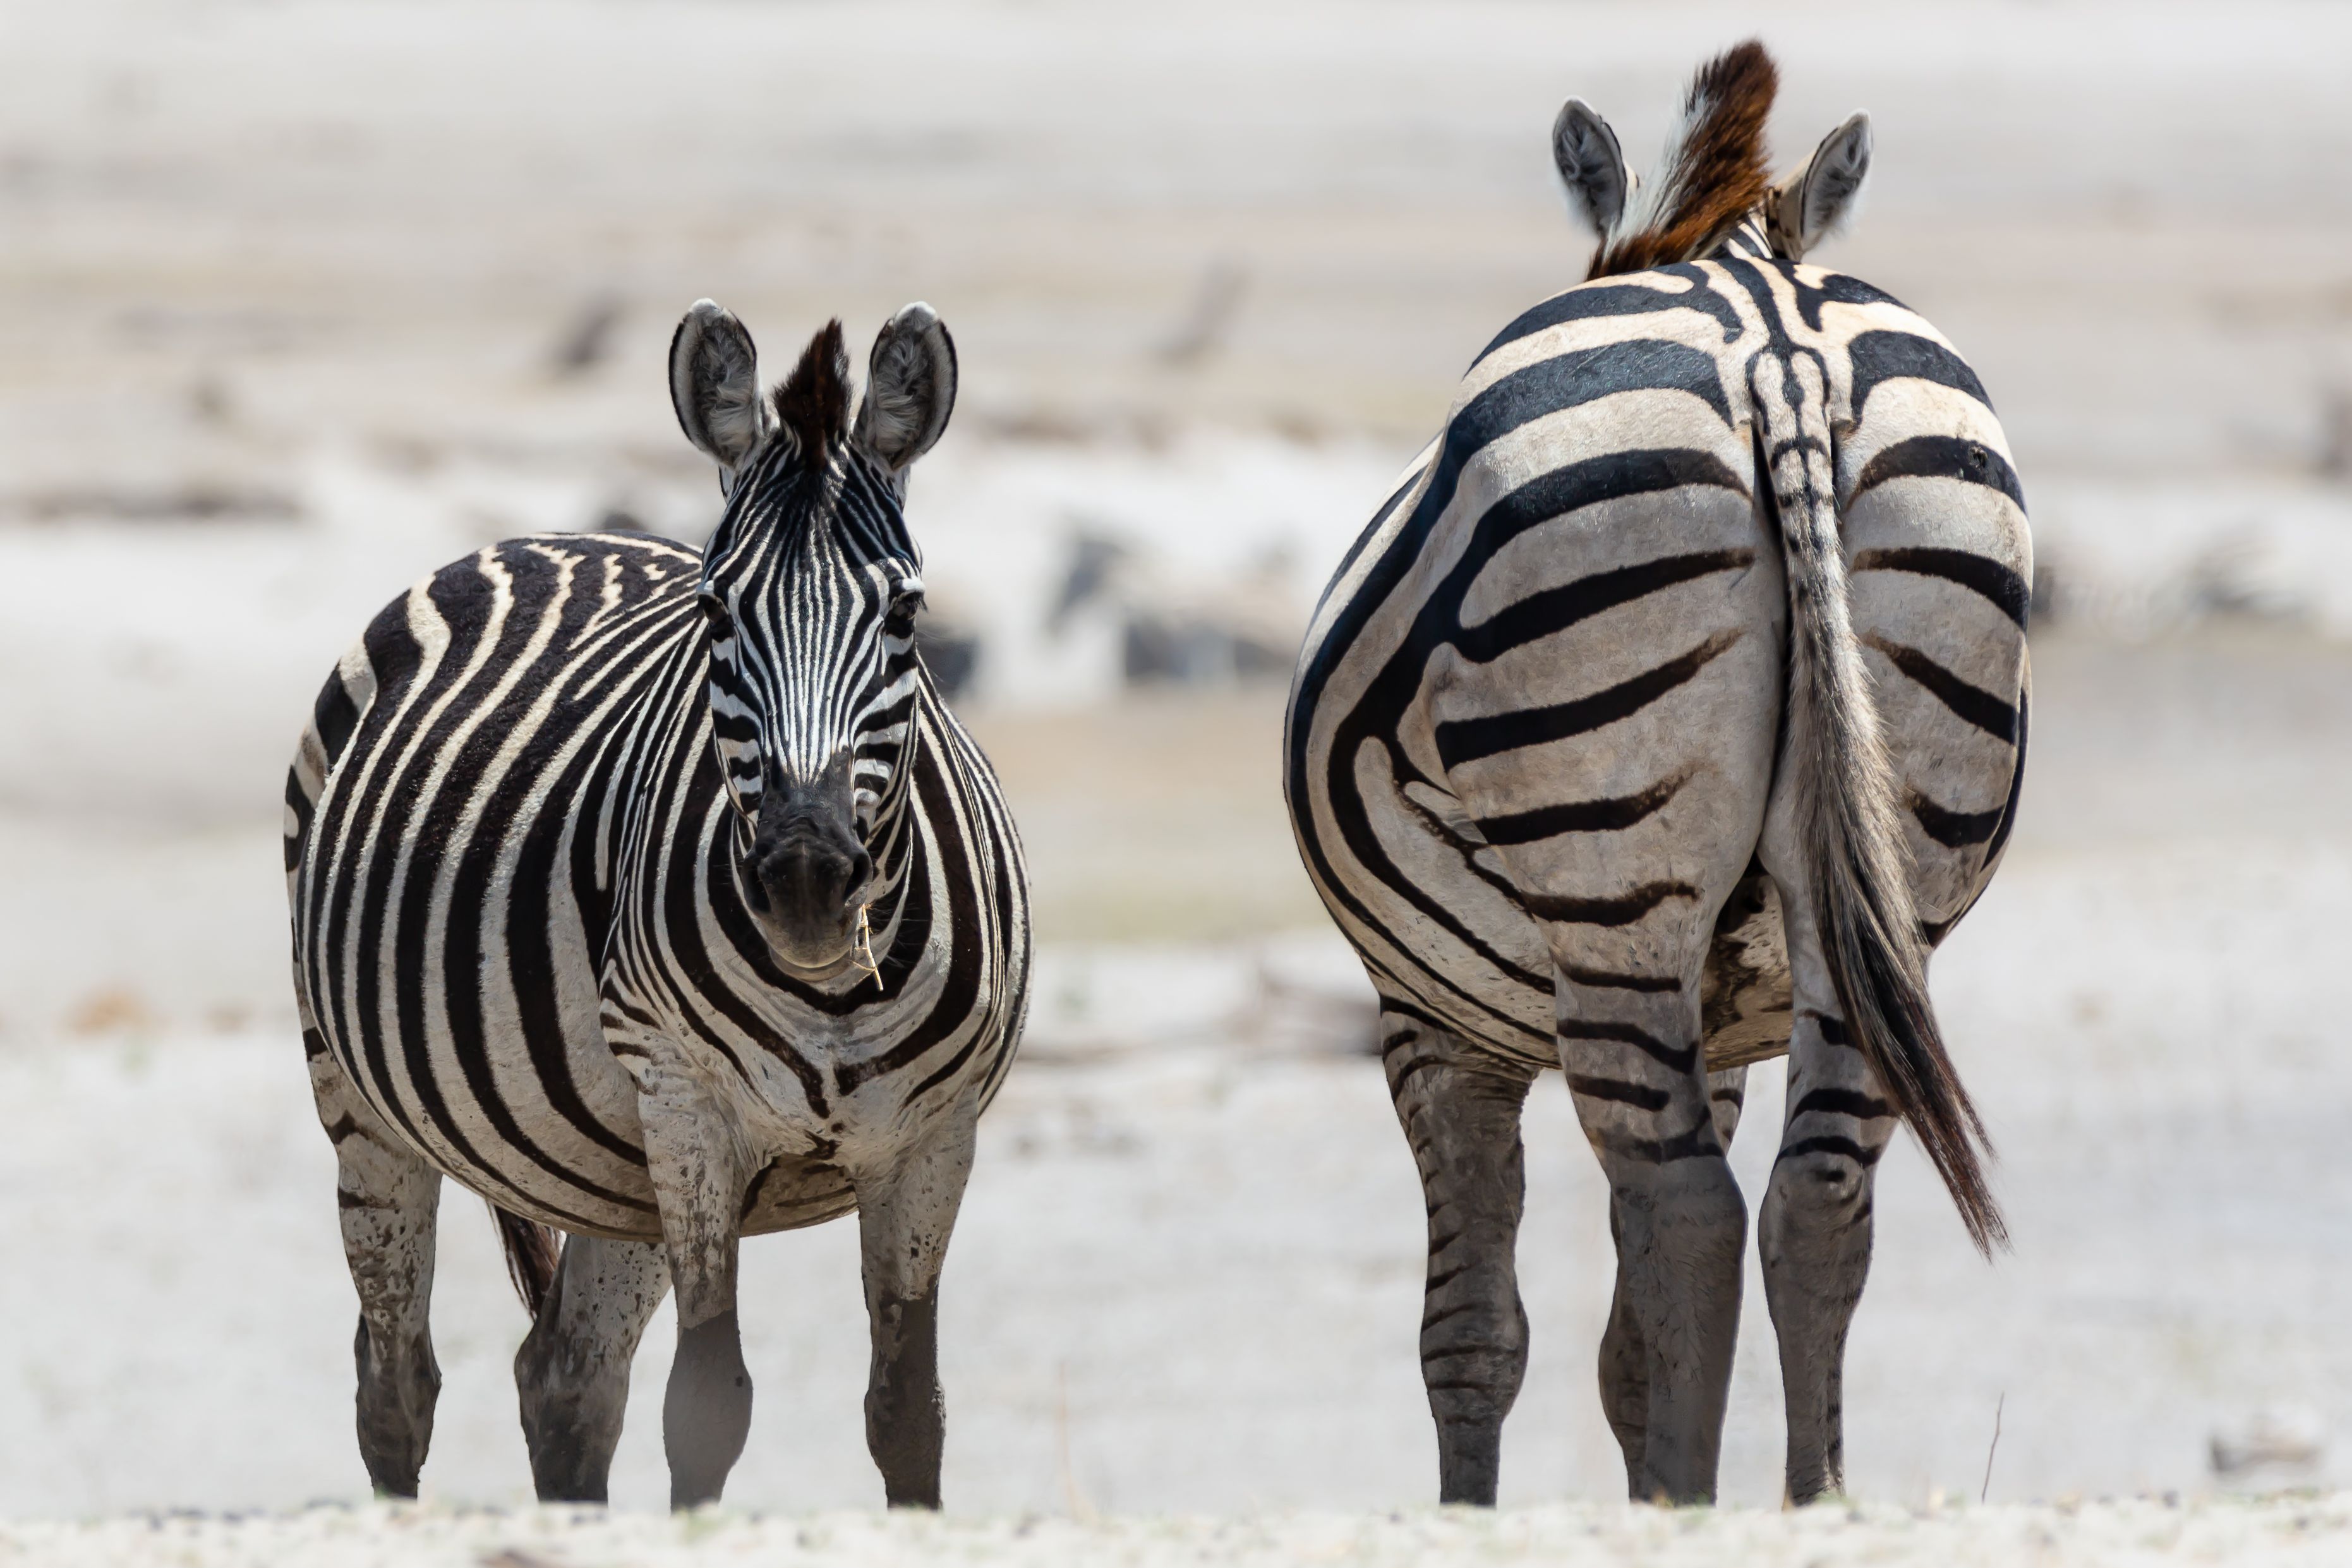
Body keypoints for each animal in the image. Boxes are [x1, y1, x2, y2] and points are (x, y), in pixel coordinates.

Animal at [285, 301, 1030, 1510]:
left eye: (908, 612)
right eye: (718, 610)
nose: (807, 880)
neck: (830, 989)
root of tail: (547, 536)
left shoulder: (934, 1139)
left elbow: (907, 1409)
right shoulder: (691, 1110)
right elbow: (708, 1402)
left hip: (607, 1162)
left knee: (564, 1376)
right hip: (360, 1097)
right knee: (393, 1374)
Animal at [1284, 42, 2028, 1506]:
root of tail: (1774, 345)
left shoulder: (1429, 1022)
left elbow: (1475, 1331)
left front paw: (1473, 1517)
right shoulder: (1731, 1025)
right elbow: (1629, 1339)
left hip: (1609, 887)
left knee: (1690, 1208)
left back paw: (1692, 1508)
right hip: (1888, 874)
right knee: (1812, 1201)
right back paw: (1810, 1501)